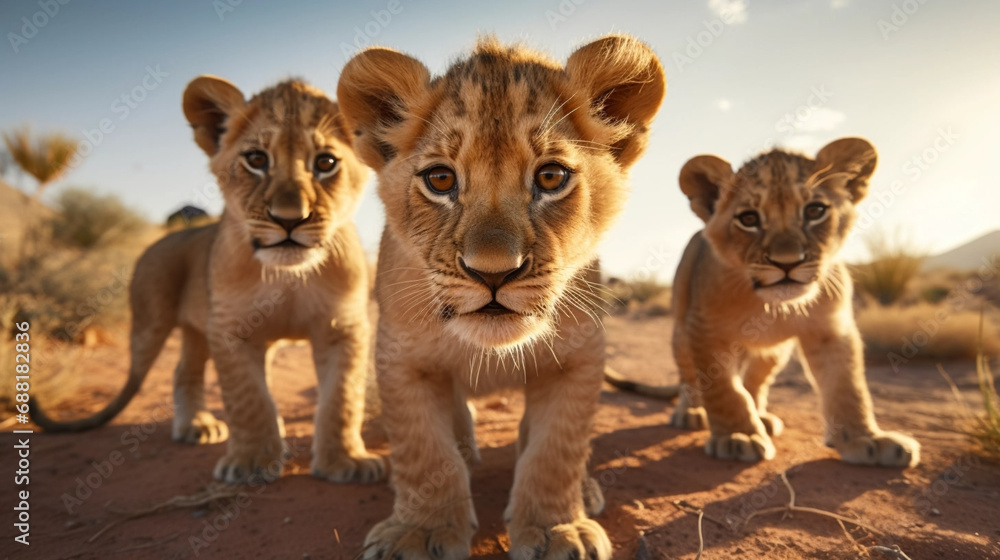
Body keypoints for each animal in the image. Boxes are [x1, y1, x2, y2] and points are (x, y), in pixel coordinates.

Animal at [29, 76, 385, 485]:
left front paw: (346, 461)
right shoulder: (230, 327)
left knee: (187, 370)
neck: (287, 277)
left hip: (201, 331)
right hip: (152, 326)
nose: (289, 219)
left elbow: (342, 397)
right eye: (256, 159)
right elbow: (249, 397)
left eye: (326, 163)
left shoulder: (343, 327)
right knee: (172, 369)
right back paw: (196, 426)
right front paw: (250, 461)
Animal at [336, 35, 665, 559]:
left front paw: (556, 531)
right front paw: (420, 531)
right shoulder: (402, 359)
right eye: (441, 180)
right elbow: (424, 449)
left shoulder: (577, 359)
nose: (493, 272)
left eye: (551, 177)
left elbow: (556, 448)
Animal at [651, 138, 919, 467]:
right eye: (749, 219)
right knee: (689, 376)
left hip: (774, 353)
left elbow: (848, 387)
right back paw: (690, 412)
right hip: (681, 331)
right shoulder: (704, 329)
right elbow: (724, 389)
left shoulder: (830, 330)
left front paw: (867, 439)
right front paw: (737, 437)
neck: (771, 307)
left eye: (815, 210)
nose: (787, 262)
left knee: (756, 381)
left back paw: (762, 417)